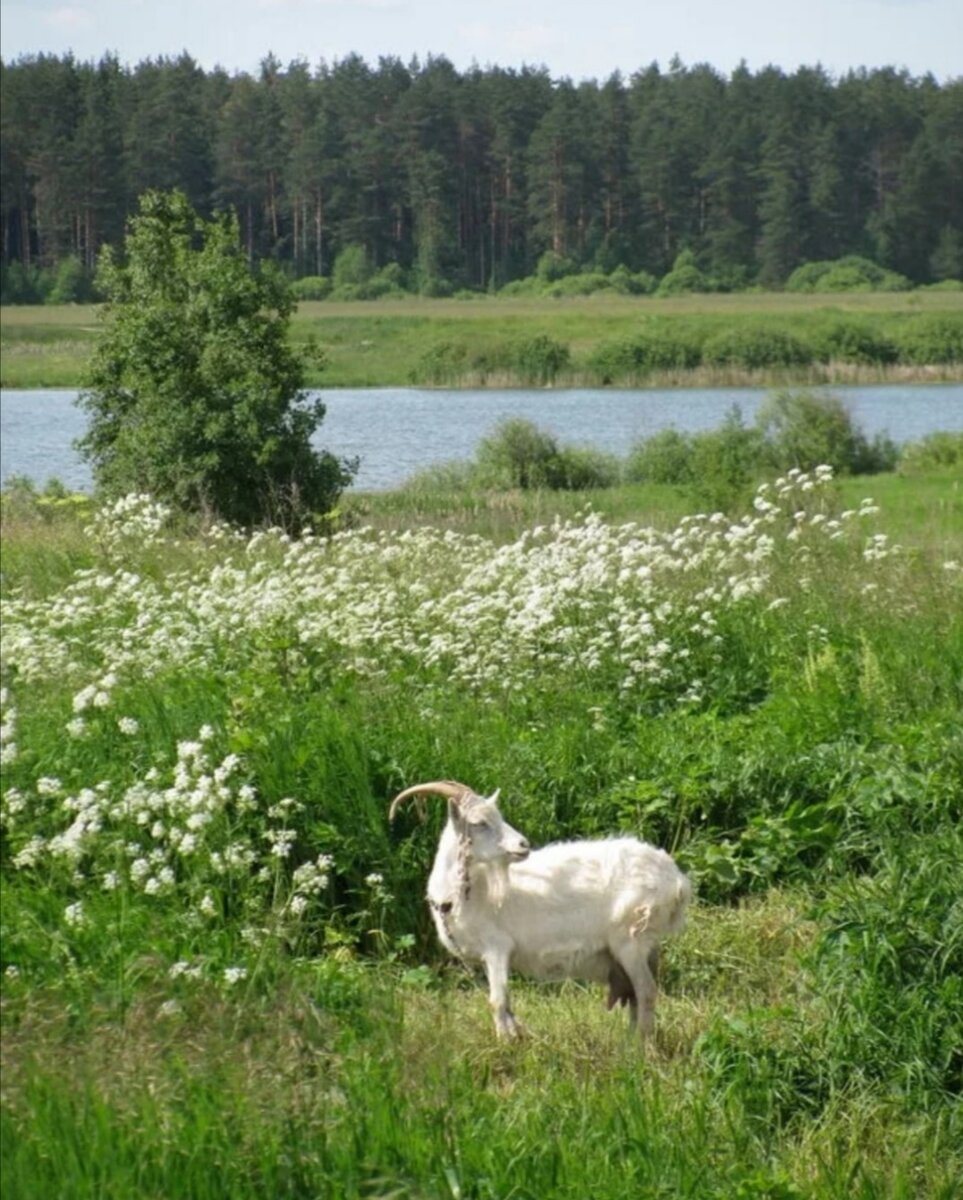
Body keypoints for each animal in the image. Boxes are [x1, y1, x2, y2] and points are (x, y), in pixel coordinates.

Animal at [386, 782, 686, 1036]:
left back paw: (640, 1049)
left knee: (646, 991)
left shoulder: (497, 947)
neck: (467, 894)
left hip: (631, 938)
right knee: (635, 994)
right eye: (479, 823)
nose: (523, 845)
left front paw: (505, 1046)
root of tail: (677, 879)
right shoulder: (489, 956)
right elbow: (505, 1005)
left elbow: (497, 1002)